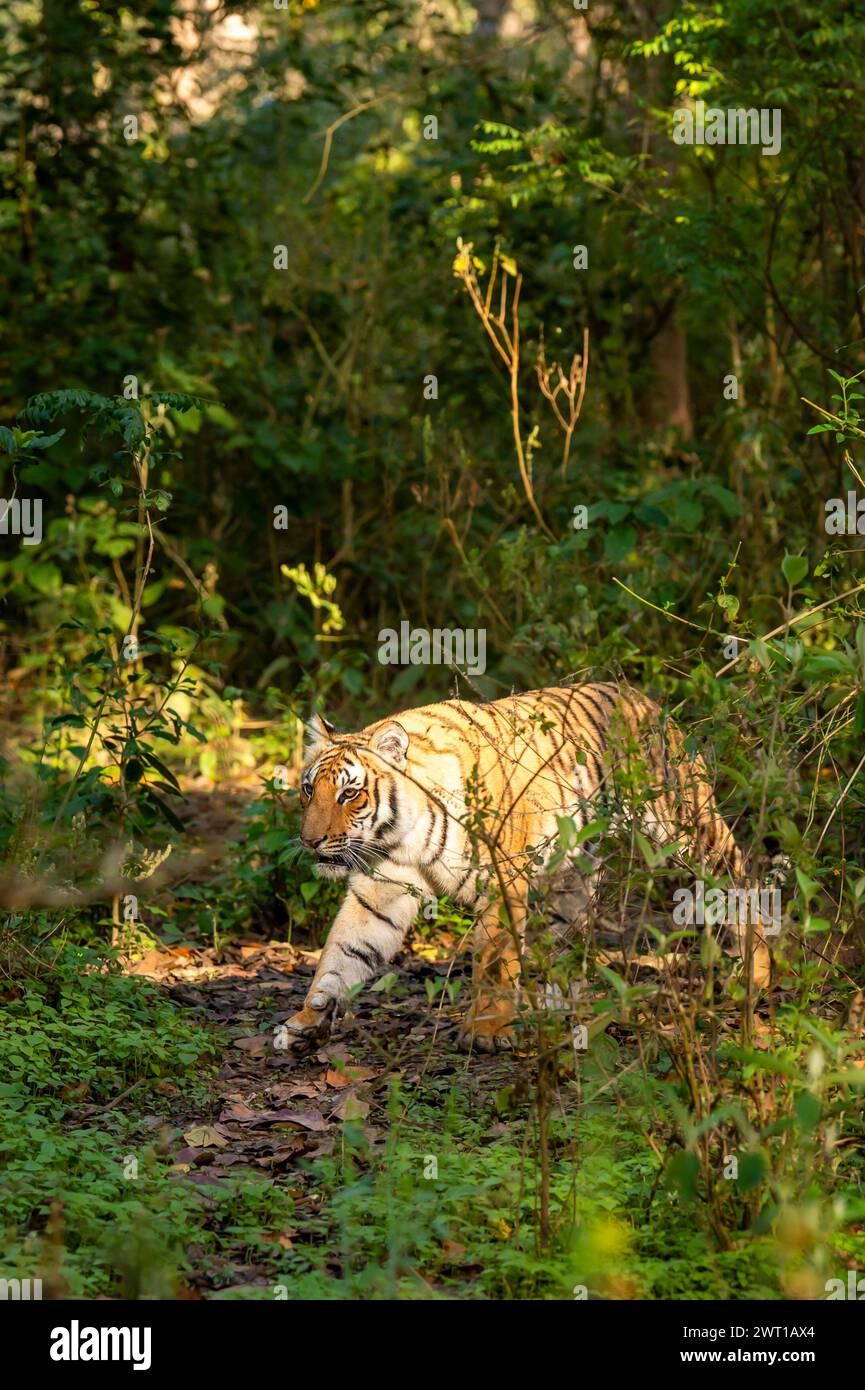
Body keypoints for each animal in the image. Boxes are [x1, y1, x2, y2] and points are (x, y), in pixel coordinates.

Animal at [273, 682, 773, 1057]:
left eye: (349, 794)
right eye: (308, 790)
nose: (310, 841)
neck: (399, 836)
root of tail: (648, 701)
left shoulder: (501, 881)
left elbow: (494, 960)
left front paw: (486, 1031)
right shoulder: (380, 891)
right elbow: (342, 954)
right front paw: (305, 1020)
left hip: (688, 828)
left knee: (741, 879)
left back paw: (755, 975)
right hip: (571, 876)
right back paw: (552, 1004)